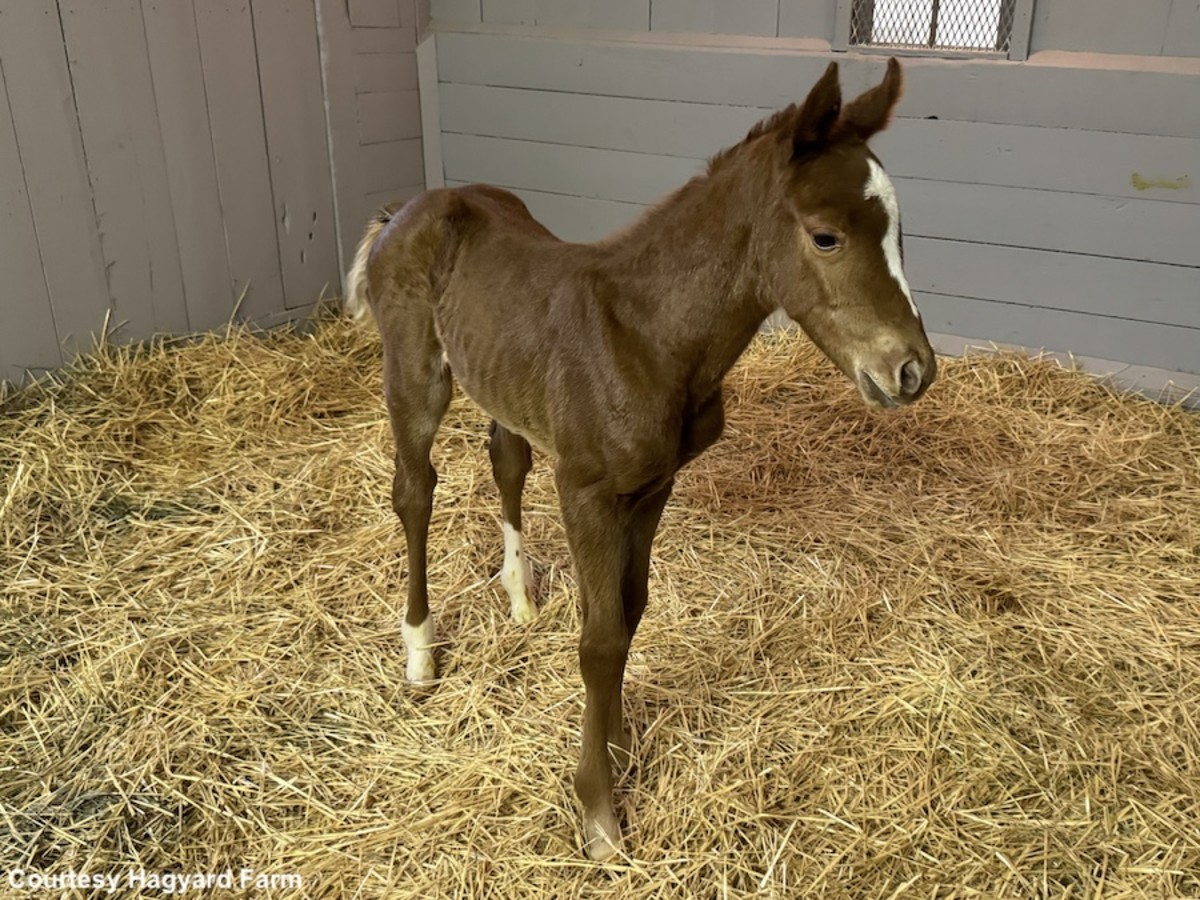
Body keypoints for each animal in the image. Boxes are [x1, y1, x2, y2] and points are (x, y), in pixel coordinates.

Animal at [344, 58, 935, 860]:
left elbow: (631, 611)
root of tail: (408, 208)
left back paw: (520, 597)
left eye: (900, 231)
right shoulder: (587, 492)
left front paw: (620, 741)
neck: (648, 335)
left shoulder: (654, 485)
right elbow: (598, 639)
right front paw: (598, 811)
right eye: (826, 236)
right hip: (414, 375)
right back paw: (420, 654)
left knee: (506, 458)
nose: (913, 371)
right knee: (414, 489)